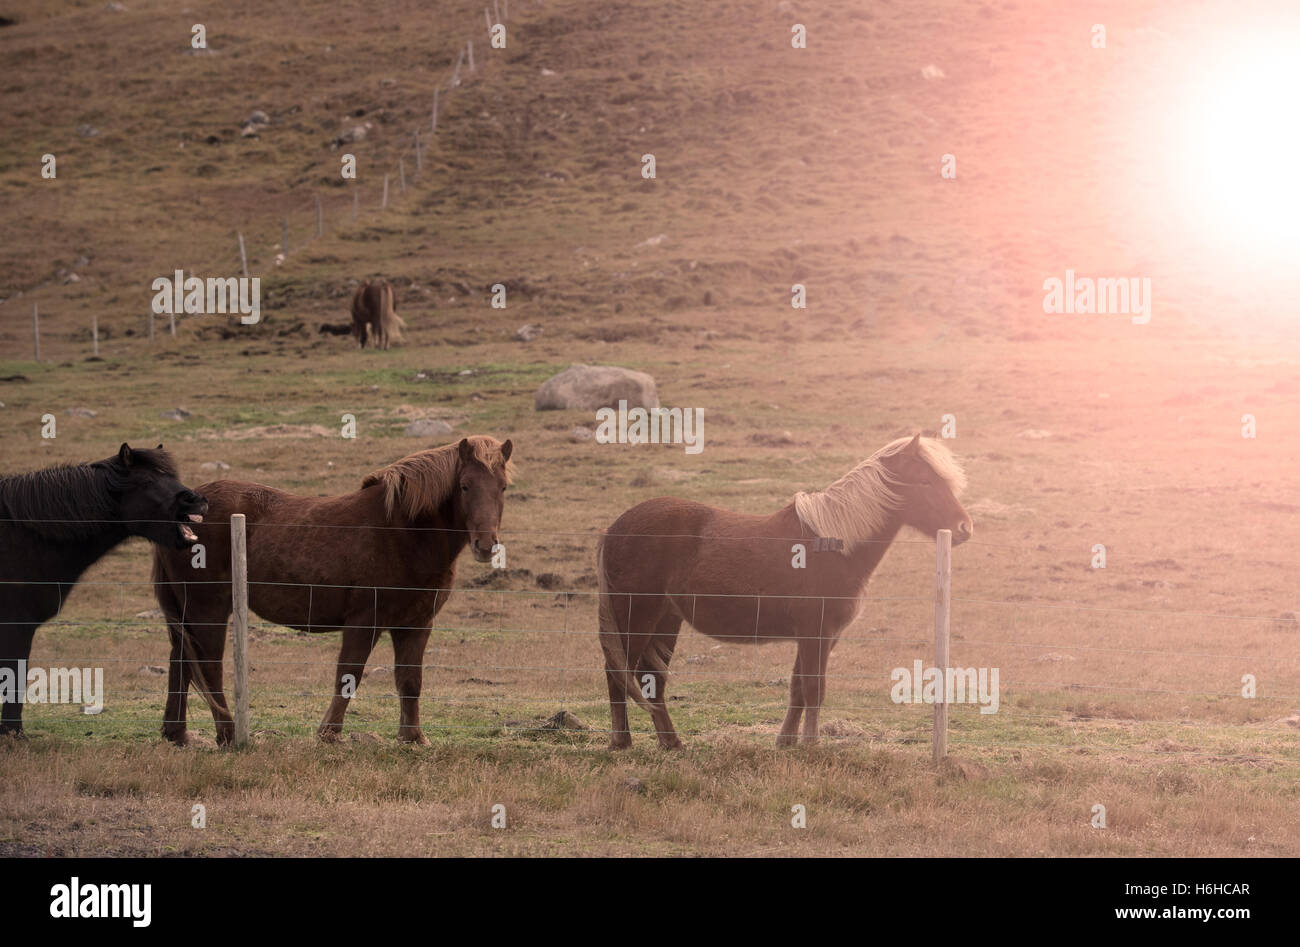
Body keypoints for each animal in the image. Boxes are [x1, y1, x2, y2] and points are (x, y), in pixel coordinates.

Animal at [0, 444, 208, 738]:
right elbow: (14, 677)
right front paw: (13, 735)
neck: (25, 537)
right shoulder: (16, 625)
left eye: (172, 476)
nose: (197, 500)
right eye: (147, 482)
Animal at [150, 435, 513, 746]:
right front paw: (329, 734)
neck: (404, 533)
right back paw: (226, 734)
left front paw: (413, 738)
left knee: (181, 660)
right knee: (208, 666)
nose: (486, 546)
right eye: (465, 486)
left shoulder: (416, 624)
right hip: (208, 609)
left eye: (504, 487)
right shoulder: (365, 621)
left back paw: (178, 735)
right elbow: (349, 673)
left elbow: (410, 681)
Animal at [596, 433, 972, 749]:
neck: (832, 546)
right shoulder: (815, 631)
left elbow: (797, 688)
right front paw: (810, 744)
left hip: (665, 620)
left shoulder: (821, 635)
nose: (964, 528)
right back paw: (622, 742)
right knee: (617, 675)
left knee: (651, 680)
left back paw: (671, 743)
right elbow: (814, 688)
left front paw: (787, 741)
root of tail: (614, 529)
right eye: (925, 481)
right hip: (637, 616)